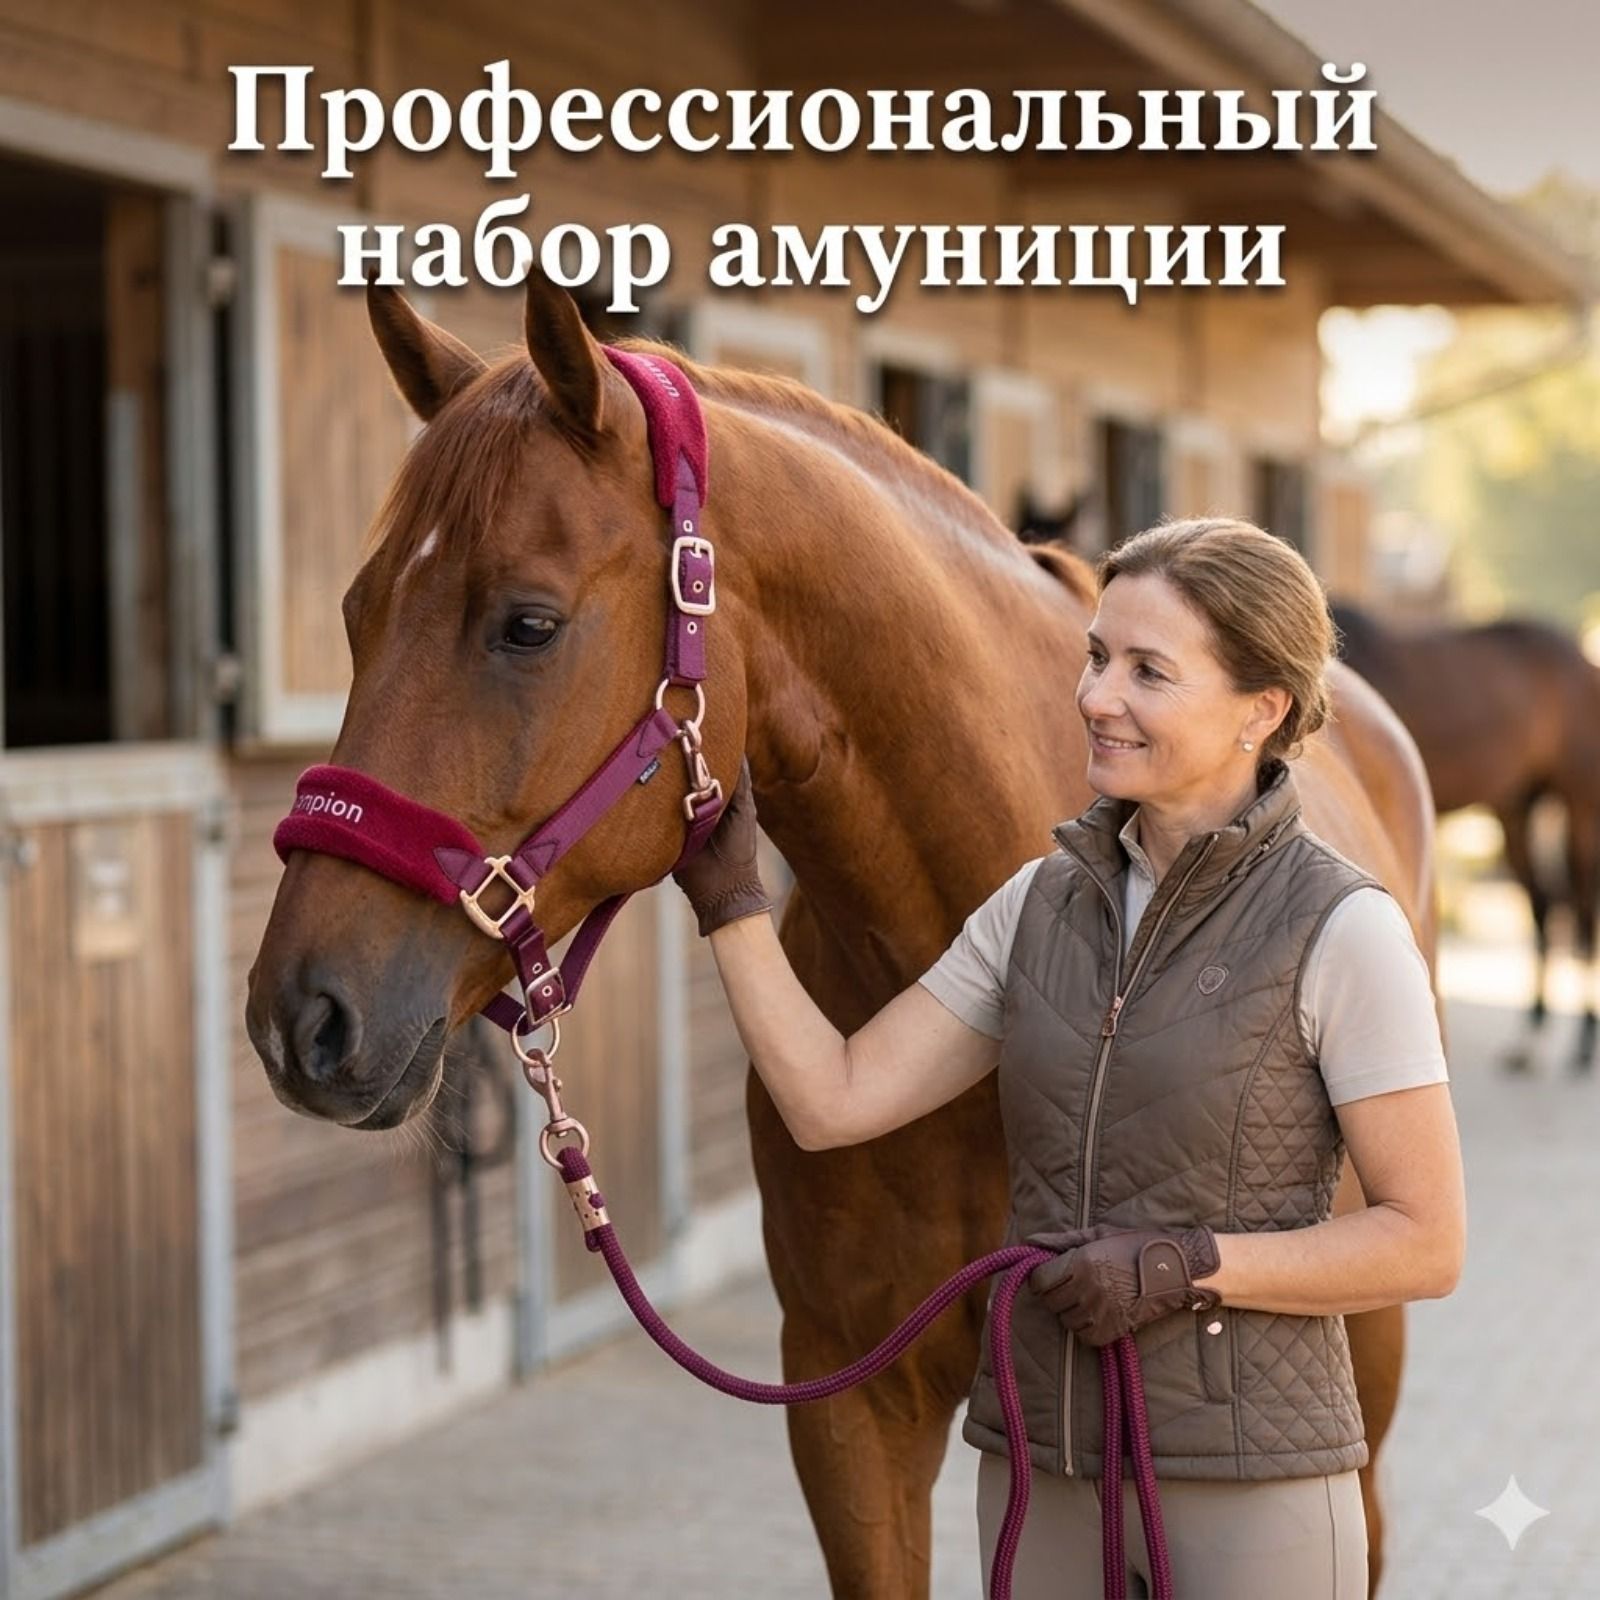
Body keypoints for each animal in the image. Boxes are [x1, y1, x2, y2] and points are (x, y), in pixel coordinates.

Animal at [1332, 601, 1599, 1072]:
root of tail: (1581, 656)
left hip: (1579, 803)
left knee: (1582, 906)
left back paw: (1582, 1045)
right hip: (1515, 808)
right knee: (1543, 905)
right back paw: (1529, 1040)